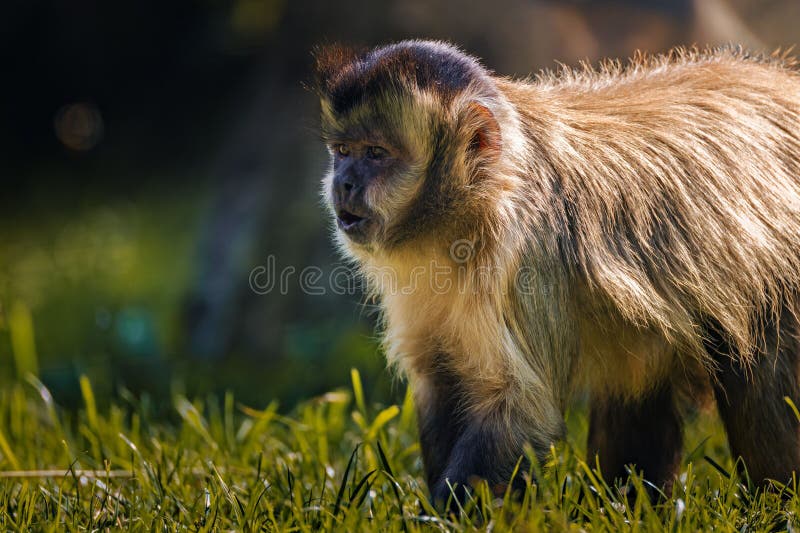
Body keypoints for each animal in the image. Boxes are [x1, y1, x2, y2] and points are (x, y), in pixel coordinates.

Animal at [313, 40, 800, 509]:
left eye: (376, 154)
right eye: (343, 152)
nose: (343, 182)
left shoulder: (524, 250)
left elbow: (522, 413)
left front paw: (440, 517)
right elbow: (441, 380)